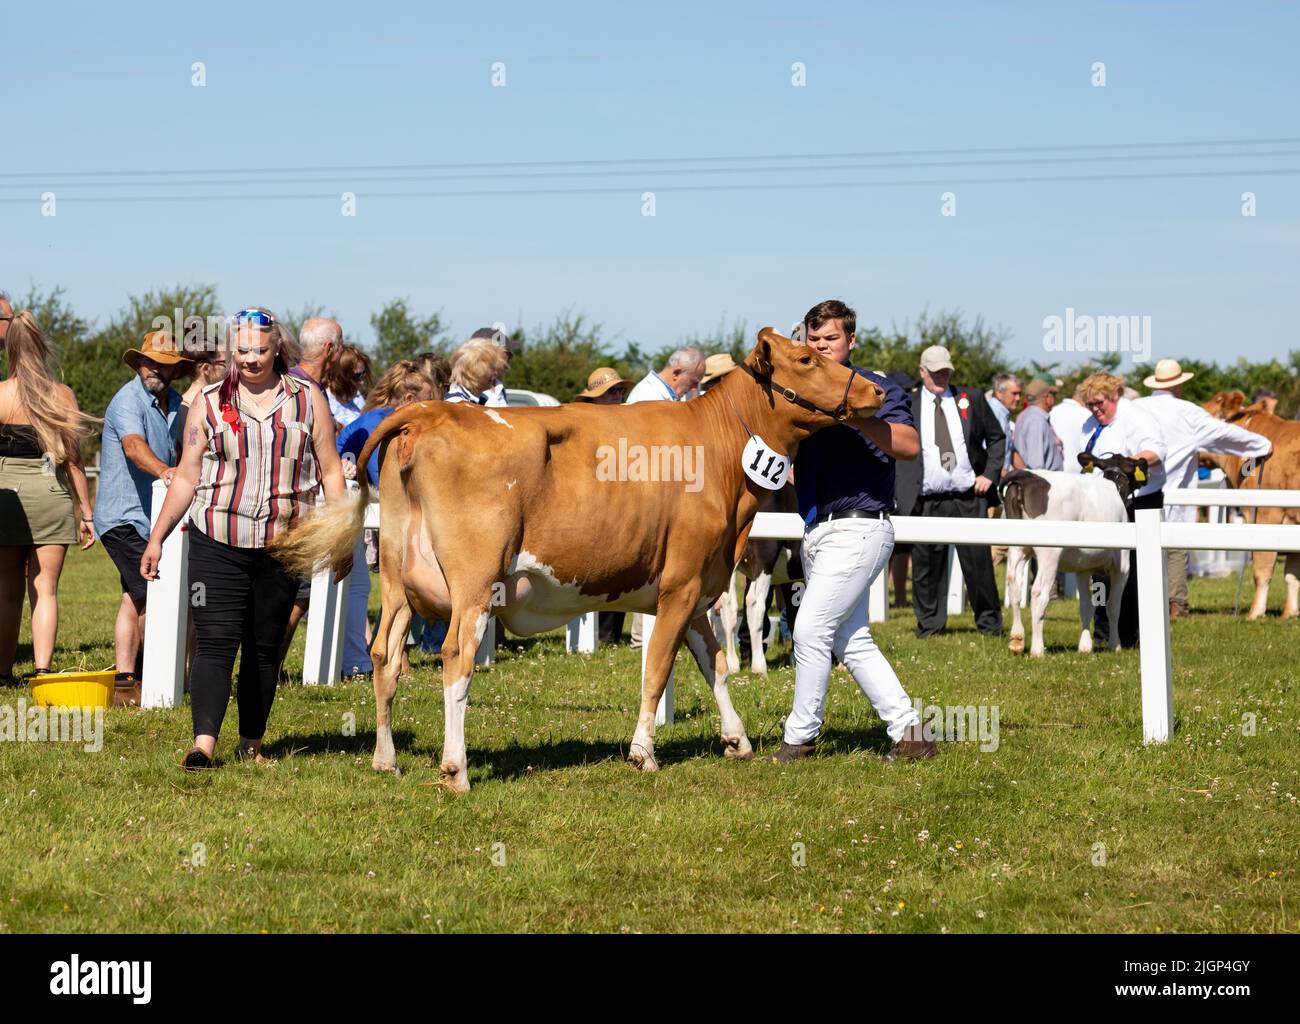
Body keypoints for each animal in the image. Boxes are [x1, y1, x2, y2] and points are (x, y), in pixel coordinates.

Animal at [270, 328, 885, 792]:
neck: (719, 452)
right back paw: (455, 769)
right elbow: (659, 670)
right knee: (454, 657)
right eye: (806, 358)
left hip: (400, 584)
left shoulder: (698, 585)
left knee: (385, 657)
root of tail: (433, 414)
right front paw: (643, 753)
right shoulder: (682, 584)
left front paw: (737, 739)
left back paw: (385, 759)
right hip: (475, 584)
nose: (875, 391)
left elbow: (712, 662)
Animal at [999, 453, 1149, 657]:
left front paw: (1084, 647)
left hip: (1018, 548)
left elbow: (1085, 605)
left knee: (1014, 584)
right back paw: (1037, 649)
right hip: (1049, 553)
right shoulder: (1122, 564)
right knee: (1038, 592)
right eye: (1133, 464)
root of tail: (1027, 476)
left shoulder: (1082, 567)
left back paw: (1017, 640)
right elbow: (1113, 607)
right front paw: (1115, 645)